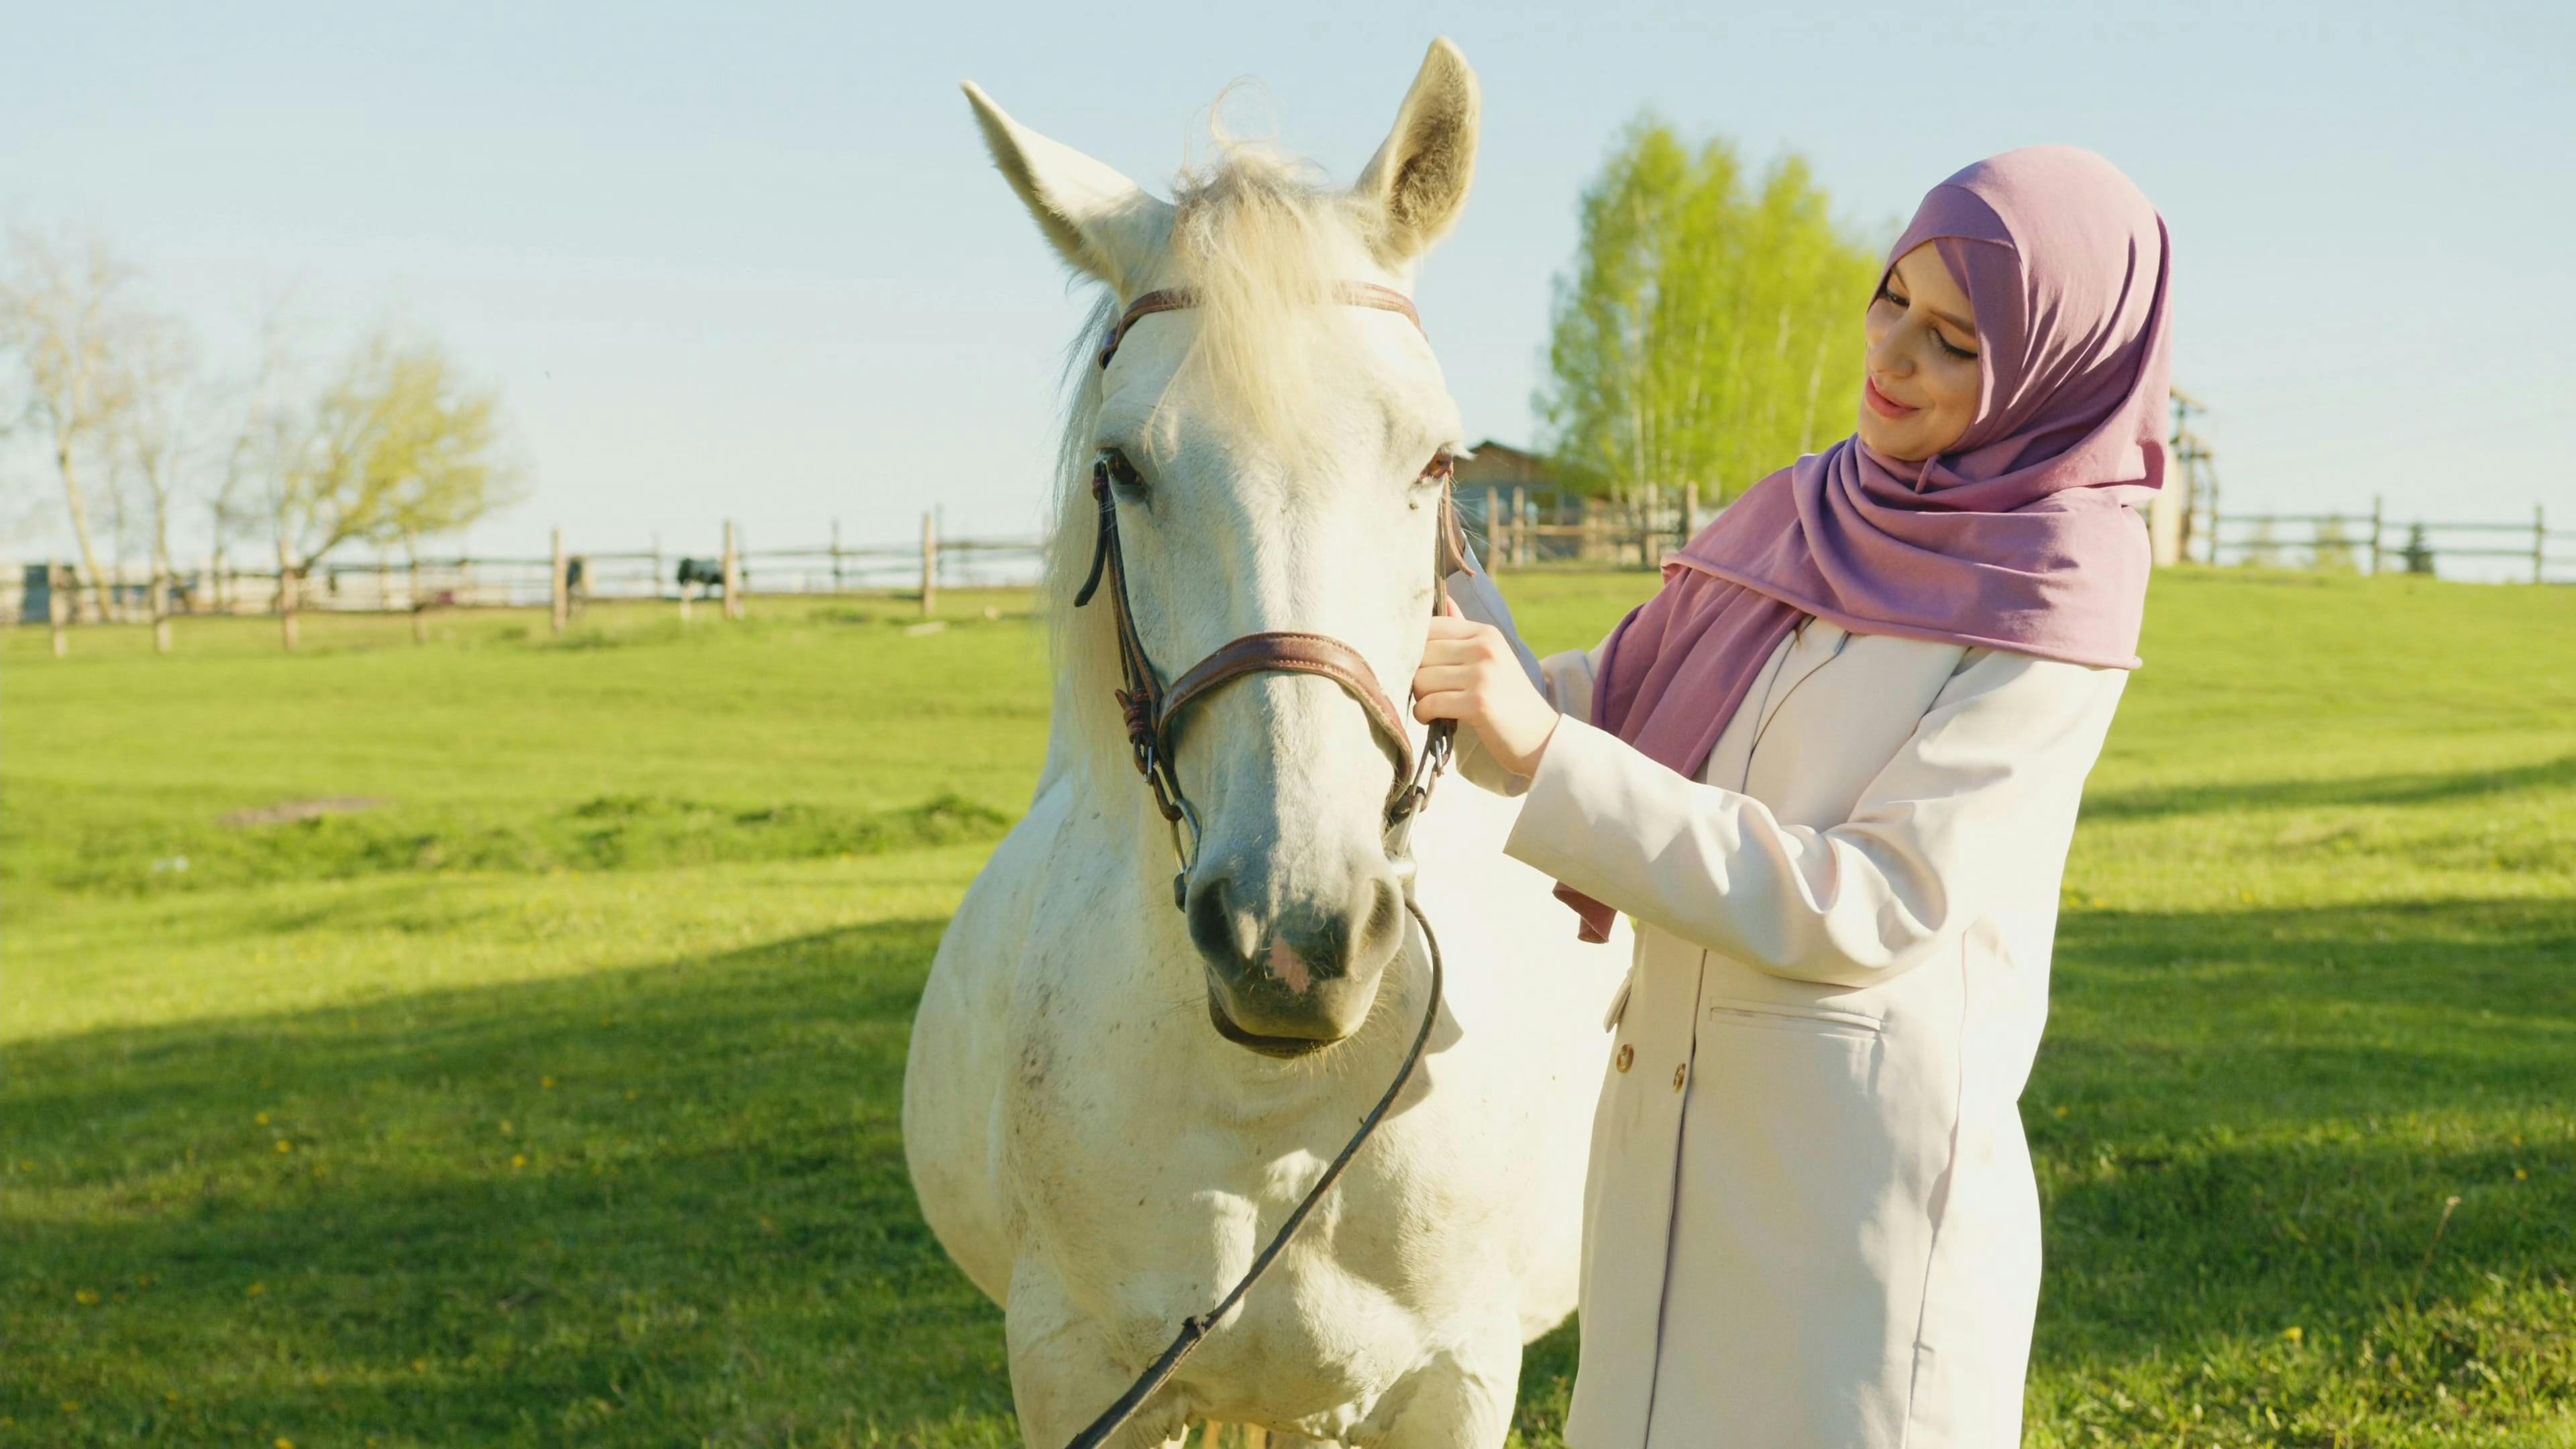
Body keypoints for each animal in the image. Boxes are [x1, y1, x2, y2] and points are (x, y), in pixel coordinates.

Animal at [903, 40, 1625, 1448]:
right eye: (1123, 465)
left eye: (1439, 460)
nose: (1292, 939)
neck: (1277, 1113)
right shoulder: (1083, 1374)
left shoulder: (1456, 1378)